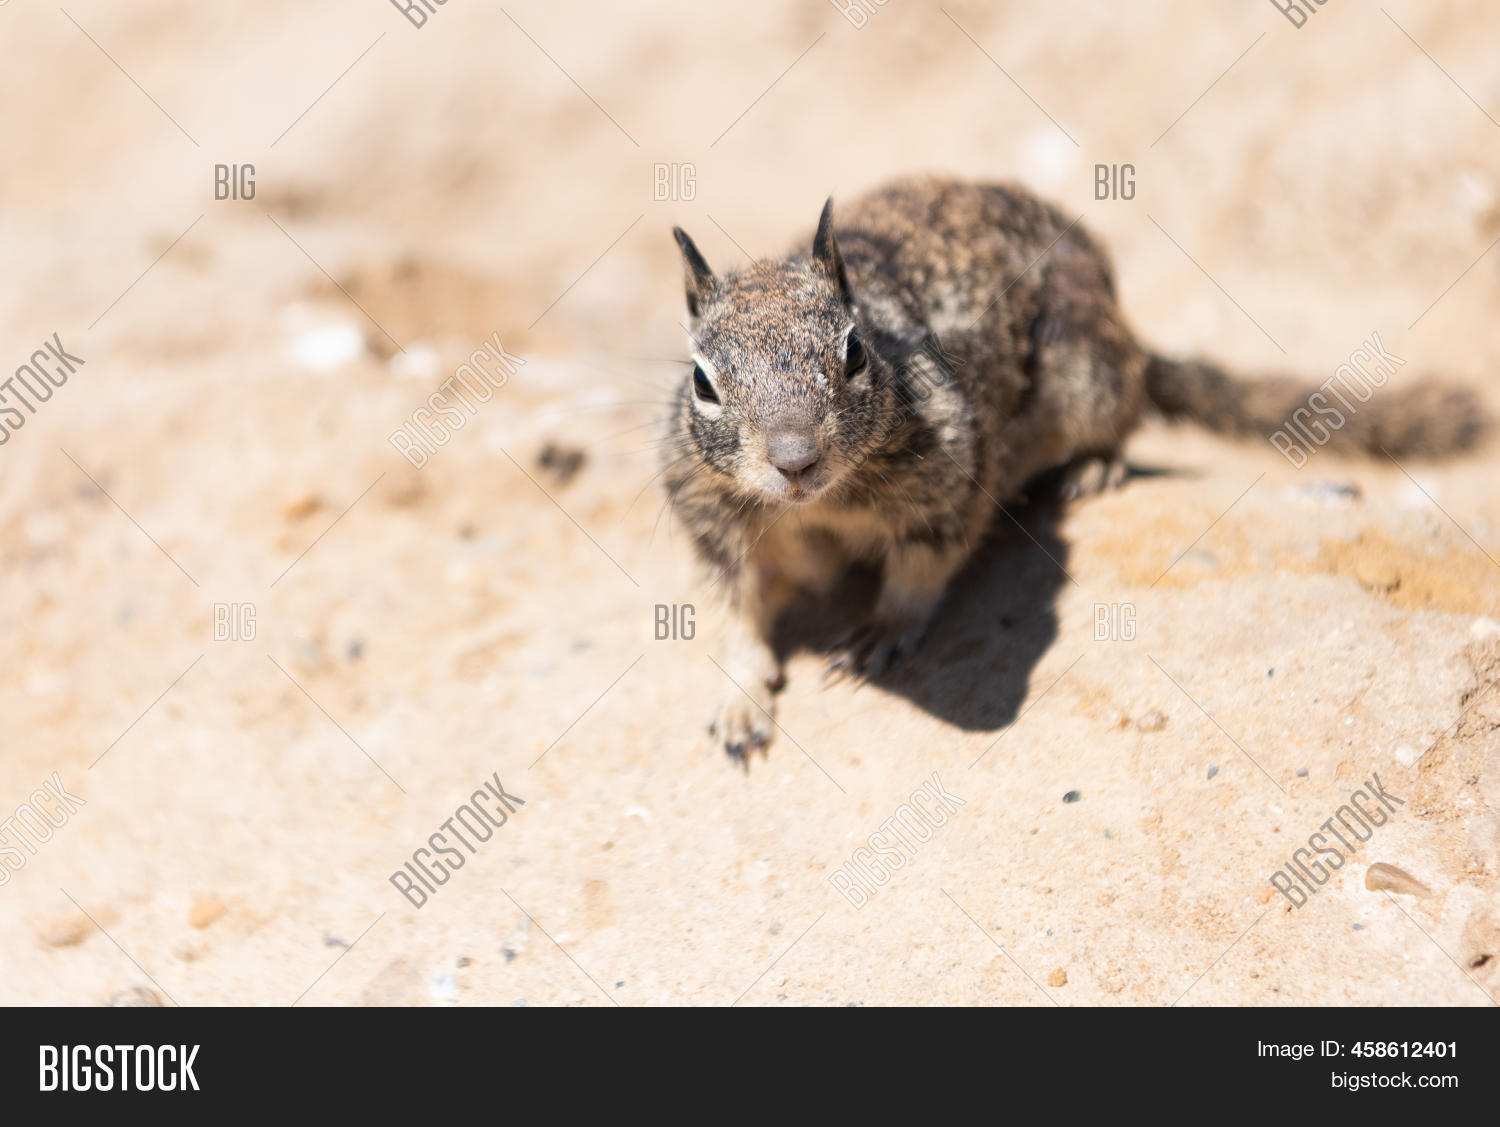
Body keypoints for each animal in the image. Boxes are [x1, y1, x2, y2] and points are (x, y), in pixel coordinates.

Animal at [661, 175, 1486, 762]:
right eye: (702, 380)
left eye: (855, 351)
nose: (795, 460)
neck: (816, 508)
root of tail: (1123, 319)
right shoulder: (710, 519)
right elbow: (737, 613)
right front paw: (739, 702)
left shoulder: (951, 480)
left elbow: (919, 573)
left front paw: (879, 634)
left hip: (1089, 377)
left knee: (1125, 415)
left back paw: (1090, 469)